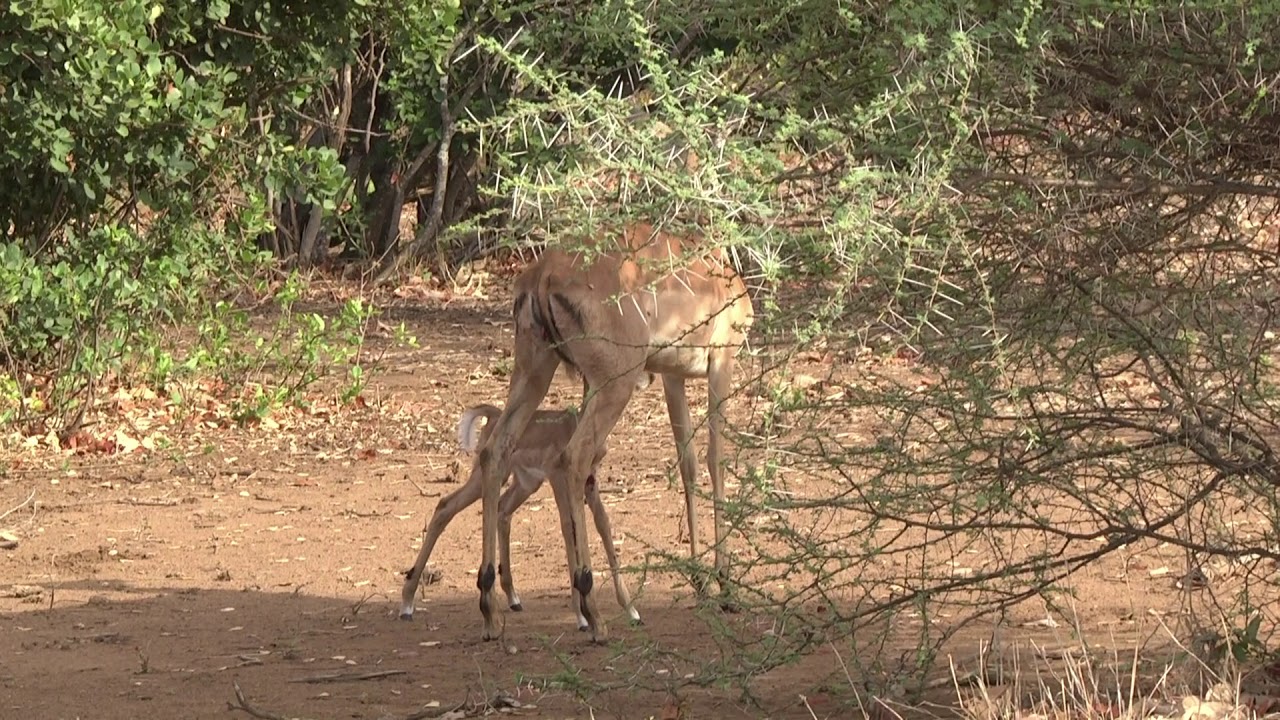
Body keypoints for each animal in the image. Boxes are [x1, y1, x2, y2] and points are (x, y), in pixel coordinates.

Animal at [399, 401, 643, 629]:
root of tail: (494, 414)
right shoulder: (558, 477)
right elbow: (568, 528)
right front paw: (582, 617)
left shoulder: (589, 481)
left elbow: (603, 525)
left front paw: (631, 611)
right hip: (488, 479)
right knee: (446, 506)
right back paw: (407, 605)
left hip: (526, 483)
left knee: (502, 509)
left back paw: (513, 598)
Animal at [451, 222, 754, 643]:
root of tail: (543, 273)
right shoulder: (721, 362)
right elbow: (715, 459)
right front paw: (724, 584)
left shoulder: (672, 376)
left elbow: (688, 464)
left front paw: (700, 582)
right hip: (614, 384)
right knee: (573, 458)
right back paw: (594, 614)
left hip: (536, 371)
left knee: (496, 451)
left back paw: (491, 611)